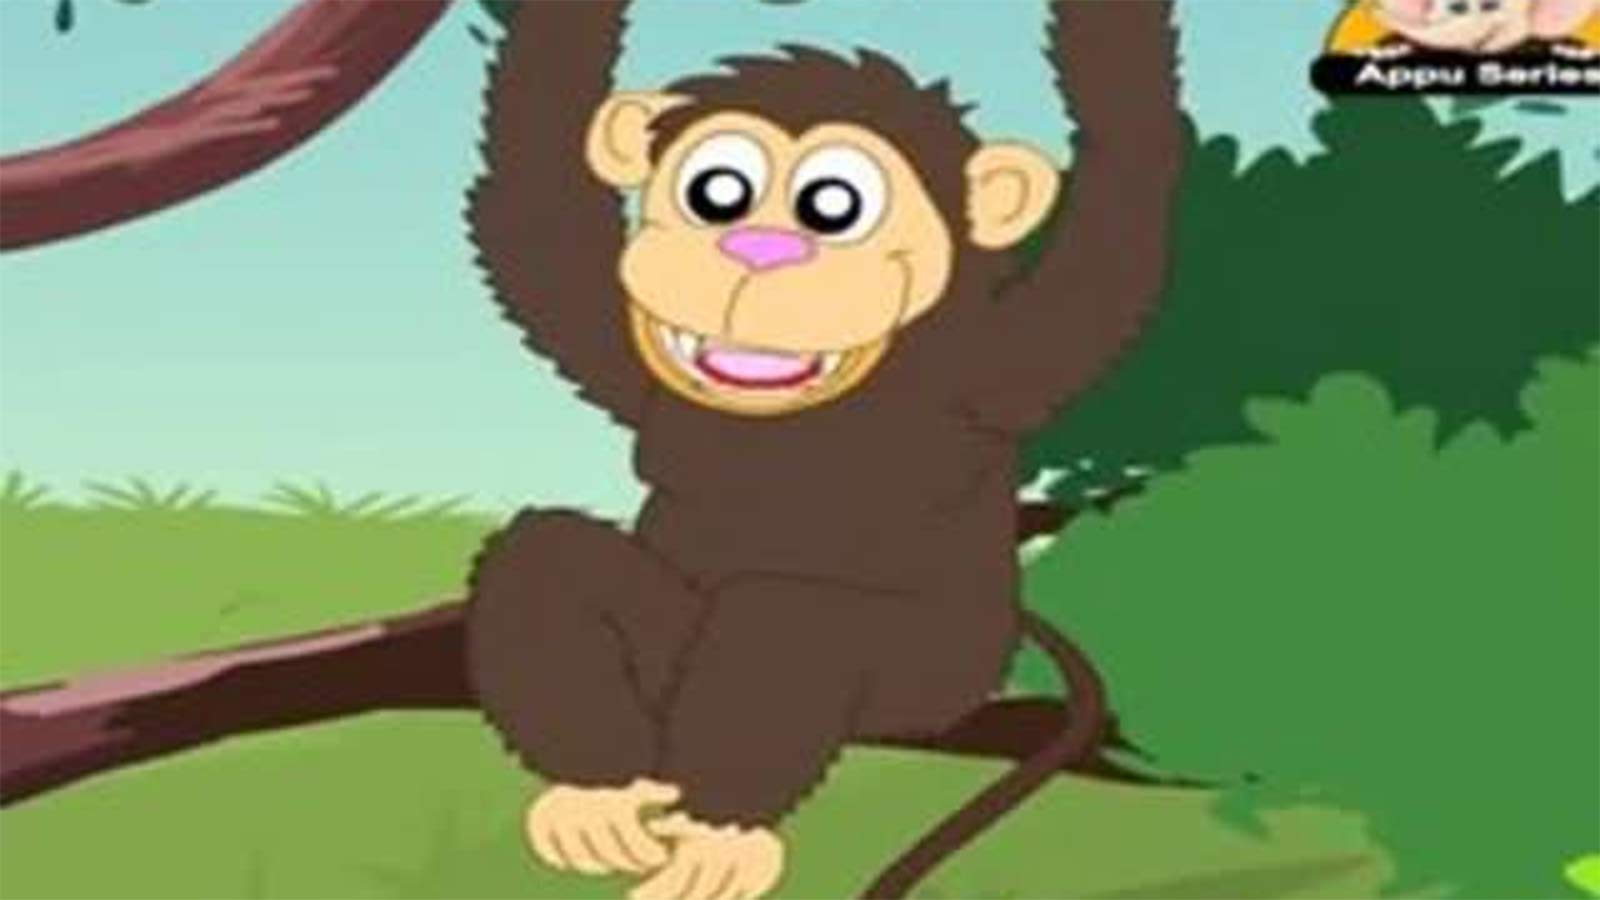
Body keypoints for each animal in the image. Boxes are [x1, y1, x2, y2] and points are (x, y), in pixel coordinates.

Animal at [463, 1, 1181, 898]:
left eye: (833, 204)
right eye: (717, 192)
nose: (757, 251)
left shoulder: (996, 367)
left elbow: (1124, 180)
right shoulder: (625, 355)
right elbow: (537, 195)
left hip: (926, 679)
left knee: (792, 622)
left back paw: (723, 830)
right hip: (669, 652)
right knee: (549, 558)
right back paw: (598, 795)